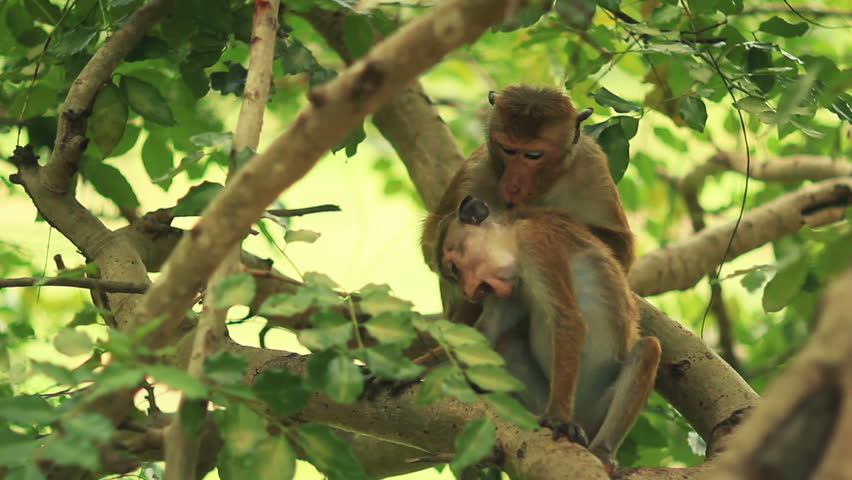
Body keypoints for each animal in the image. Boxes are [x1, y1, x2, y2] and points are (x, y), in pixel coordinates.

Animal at [436, 195, 661, 462]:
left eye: (454, 269)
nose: (468, 292)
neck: (514, 239)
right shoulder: (510, 290)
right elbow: (486, 333)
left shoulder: (537, 242)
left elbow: (569, 319)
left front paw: (557, 419)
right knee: (509, 342)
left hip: (597, 411)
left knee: (648, 348)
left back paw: (601, 451)